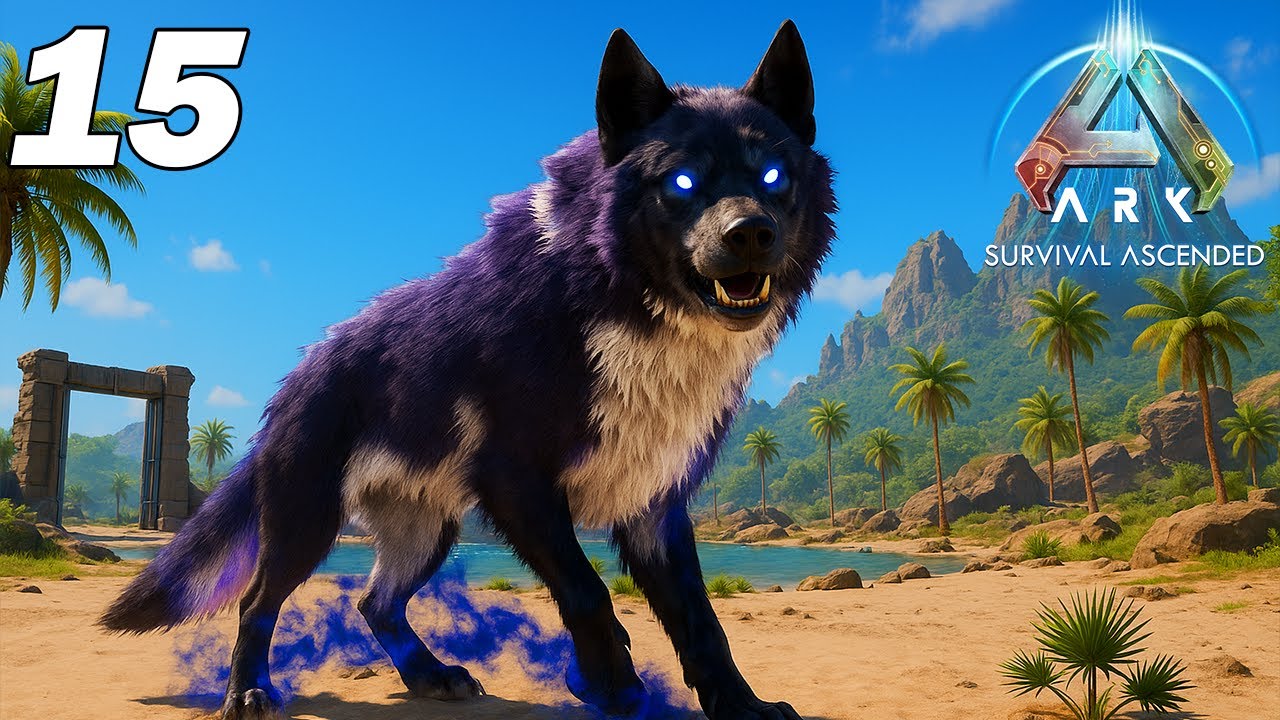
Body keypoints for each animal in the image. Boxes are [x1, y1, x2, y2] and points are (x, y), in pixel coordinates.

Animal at [103, 20, 834, 720]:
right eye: (682, 182)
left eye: (773, 177)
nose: (750, 233)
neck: (623, 308)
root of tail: (299, 376)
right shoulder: (516, 482)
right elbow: (589, 592)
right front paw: (614, 690)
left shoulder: (655, 507)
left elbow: (702, 624)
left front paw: (741, 705)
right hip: (307, 523)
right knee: (258, 603)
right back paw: (248, 694)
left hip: (430, 531)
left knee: (375, 602)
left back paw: (430, 677)